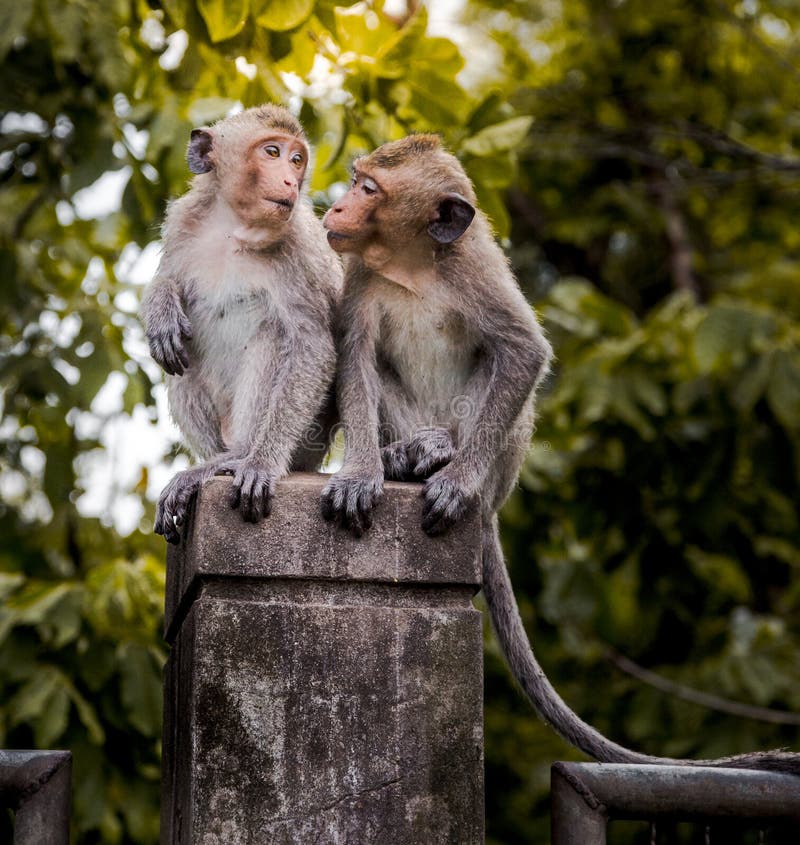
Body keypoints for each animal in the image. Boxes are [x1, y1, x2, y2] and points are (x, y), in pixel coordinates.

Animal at [141, 105, 341, 544]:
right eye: (272, 152)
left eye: (296, 159)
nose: (290, 180)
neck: (234, 226)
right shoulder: (183, 219)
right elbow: (168, 277)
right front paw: (161, 307)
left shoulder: (301, 246)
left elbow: (312, 344)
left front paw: (263, 463)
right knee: (178, 360)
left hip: (308, 440)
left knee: (273, 335)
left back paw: (236, 457)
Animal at [318, 134, 800, 776]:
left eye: (369, 189)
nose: (337, 207)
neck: (413, 265)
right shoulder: (362, 274)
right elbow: (356, 357)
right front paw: (364, 471)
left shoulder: (475, 269)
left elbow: (522, 351)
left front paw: (458, 482)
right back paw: (406, 455)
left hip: (504, 459)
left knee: (496, 373)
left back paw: (447, 463)